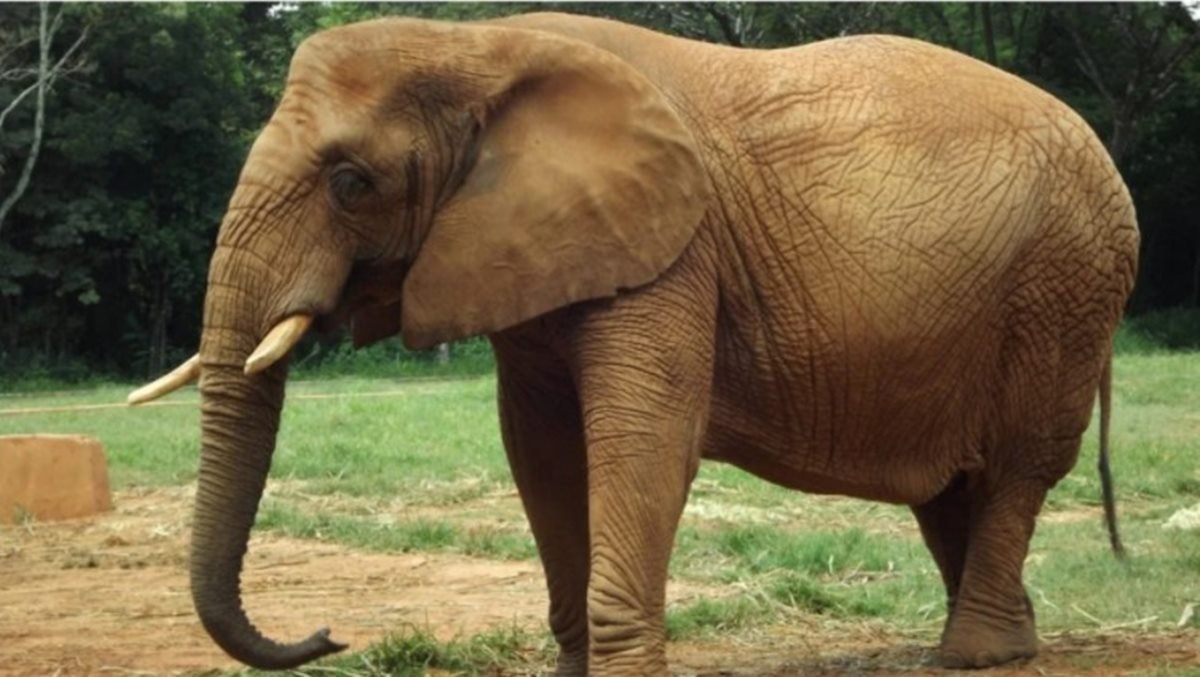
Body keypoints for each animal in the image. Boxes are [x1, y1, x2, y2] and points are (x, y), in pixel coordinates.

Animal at [129, 11, 1139, 674]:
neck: (474, 42)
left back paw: (973, 655)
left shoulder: (673, 253)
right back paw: (1001, 642)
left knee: (1015, 468)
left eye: (350, 181)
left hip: (1065, 285)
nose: (331, 635)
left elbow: (641, 441)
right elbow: (541, 450)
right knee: (950, 487)